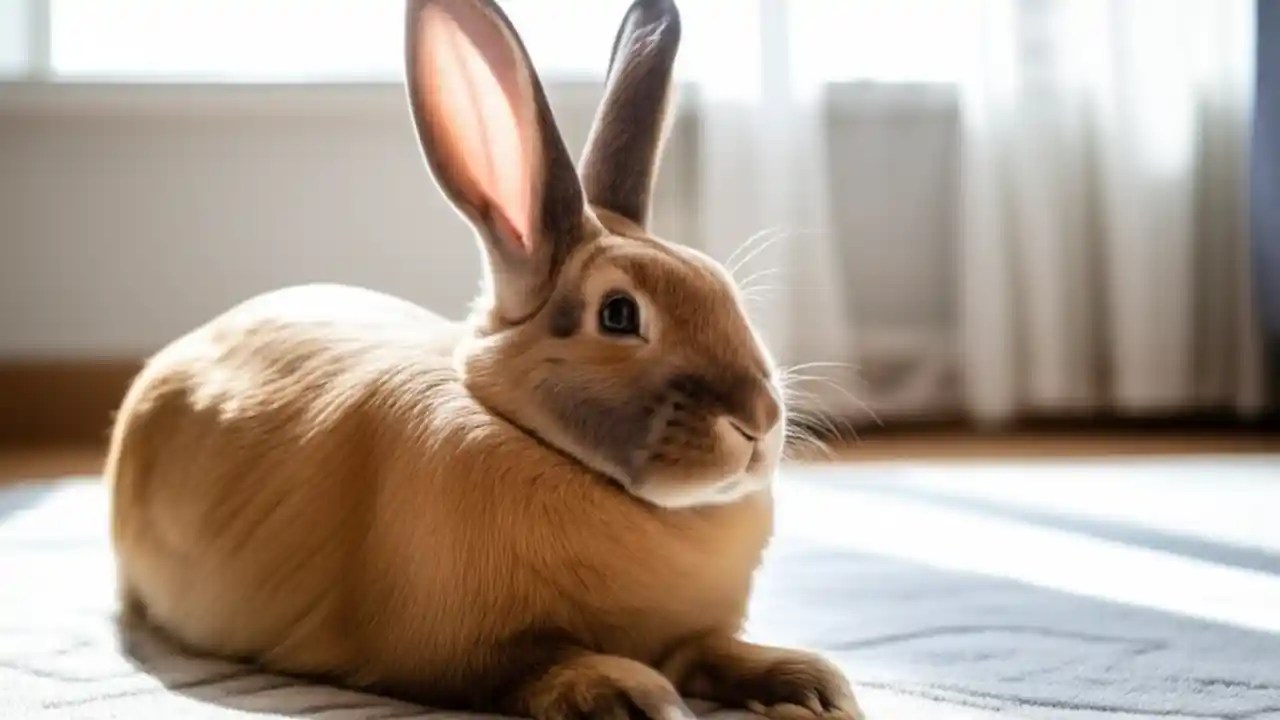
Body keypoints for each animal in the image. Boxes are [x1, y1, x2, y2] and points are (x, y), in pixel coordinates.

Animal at [105, 0, 863, 719]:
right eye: (619, 315)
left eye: (721, 286)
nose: (760, 420)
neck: (528, 436)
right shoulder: (455, 655)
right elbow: (537, 667)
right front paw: (628, 696)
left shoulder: (689, 638)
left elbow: (714, 650)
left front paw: (806, 684)